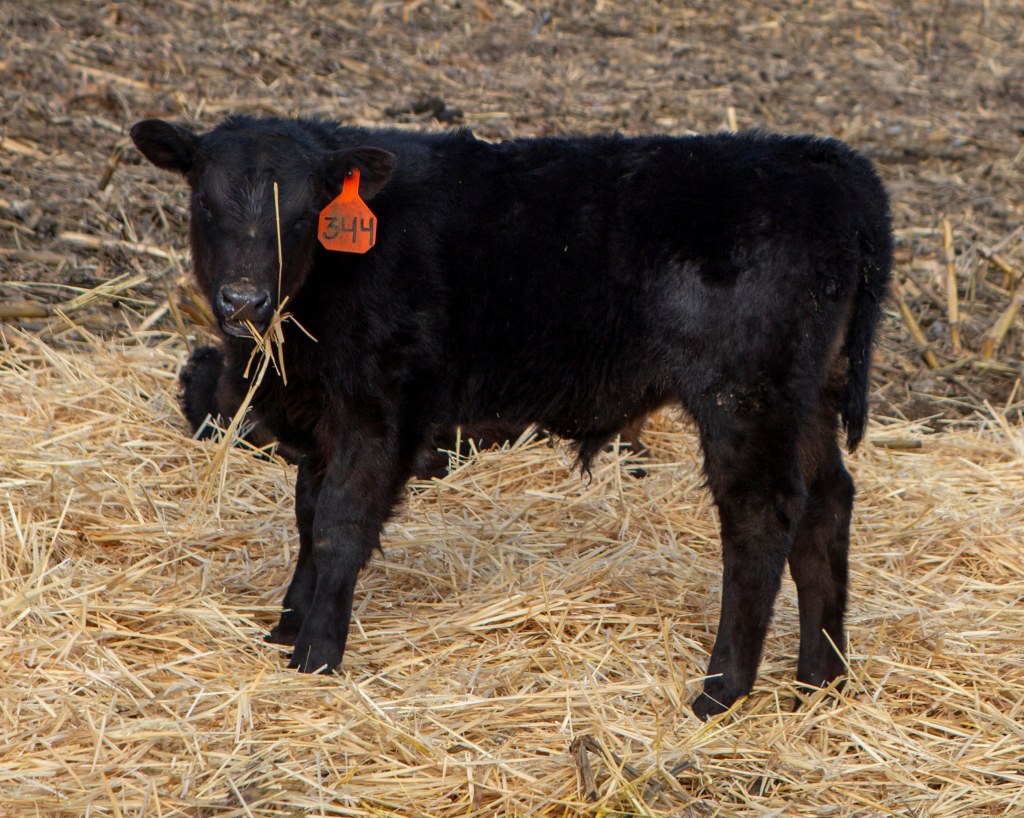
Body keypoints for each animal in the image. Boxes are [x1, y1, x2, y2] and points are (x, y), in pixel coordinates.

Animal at [131, 115, 892, 719]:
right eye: (204, 203)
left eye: (299, 214)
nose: (243, 300)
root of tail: (826, 162)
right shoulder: (323, 417)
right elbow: (307, 518)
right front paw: (288, 625)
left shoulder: (382, 408)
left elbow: (341, 525)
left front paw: (316, 653)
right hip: (806, 398)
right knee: (826, 506)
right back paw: (820, 682)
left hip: (745, 397)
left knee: (762, 518)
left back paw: (721, 691)